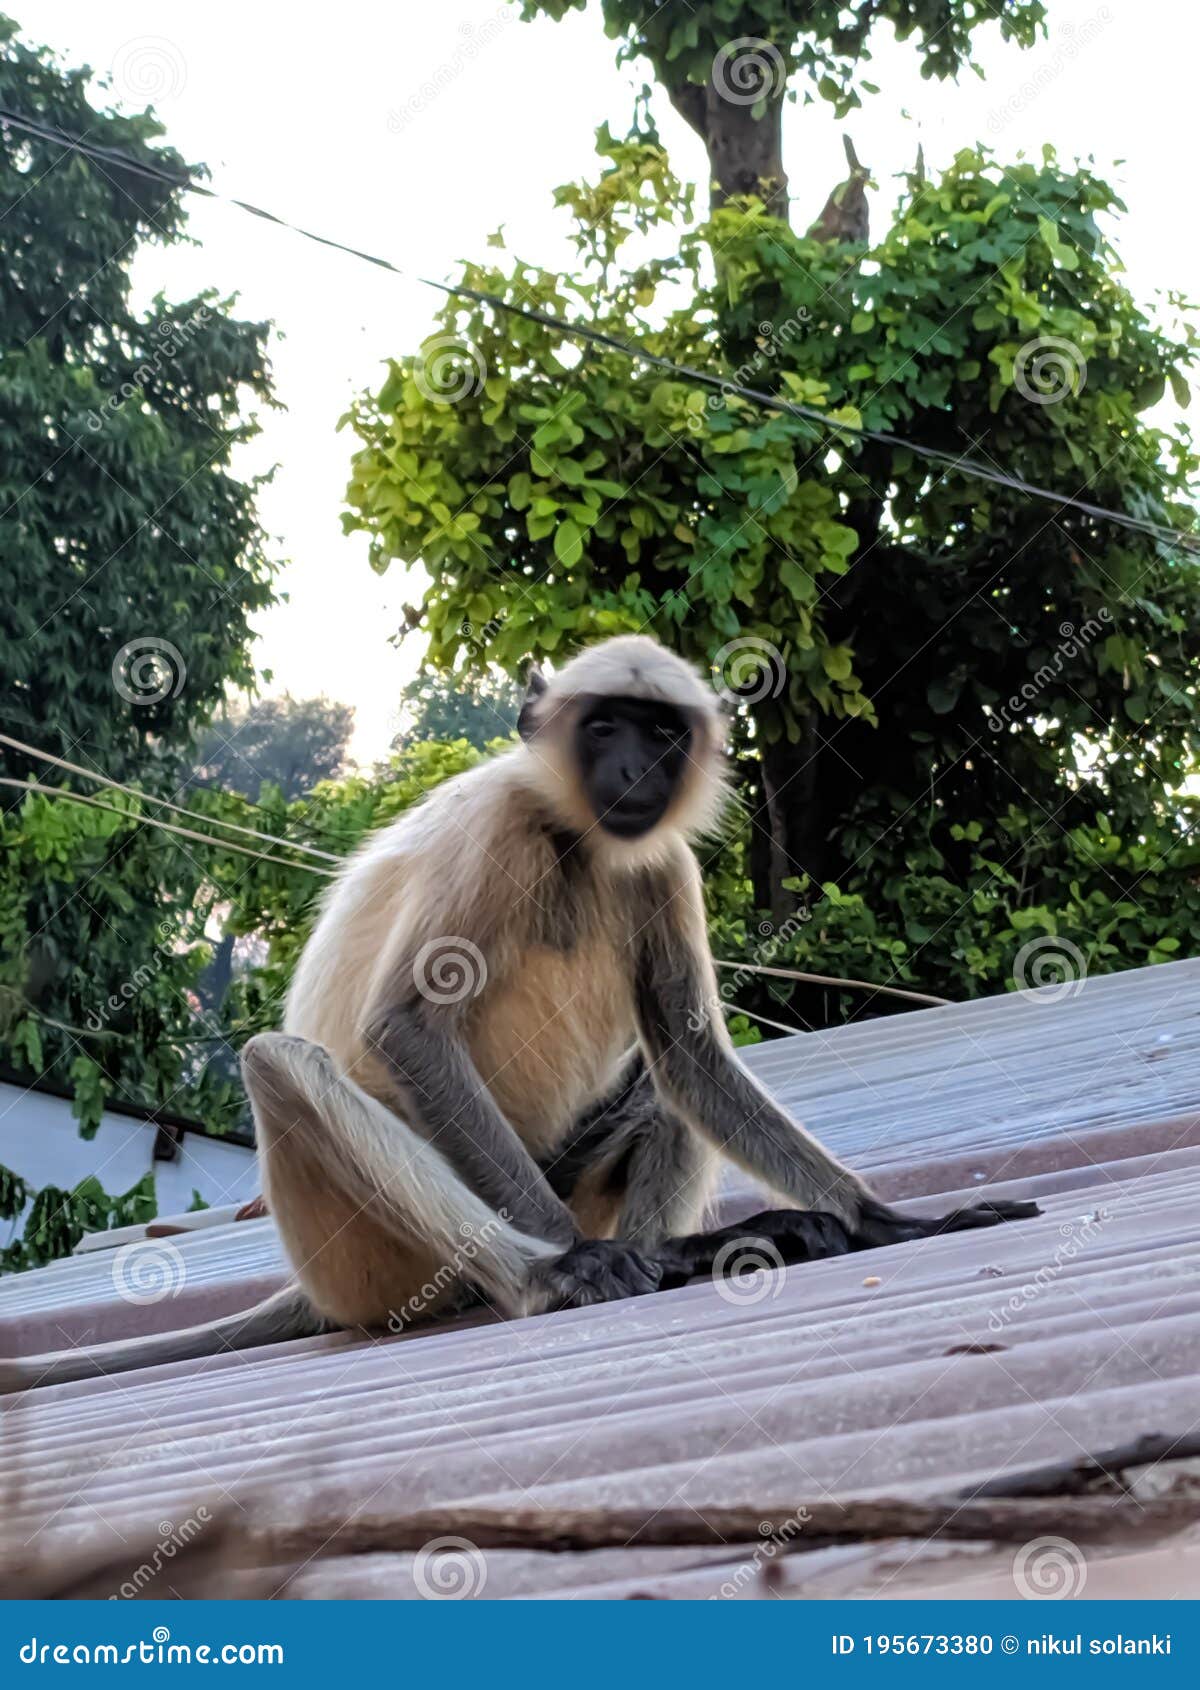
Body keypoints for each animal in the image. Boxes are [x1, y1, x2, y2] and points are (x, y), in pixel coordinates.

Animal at [6, 635, 1036, 1391]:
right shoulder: (494, 826)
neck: (573, 837)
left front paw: (882, 1222)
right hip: (361, 1253)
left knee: (664, 1084)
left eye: (661, 733)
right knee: (282, 1062)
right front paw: (581, 1263)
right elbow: (405, 1028)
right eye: (605, 726)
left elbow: (691, 1055)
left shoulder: (663, 862)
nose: (633, 768)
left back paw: (684, 1251)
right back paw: (555, 1274)